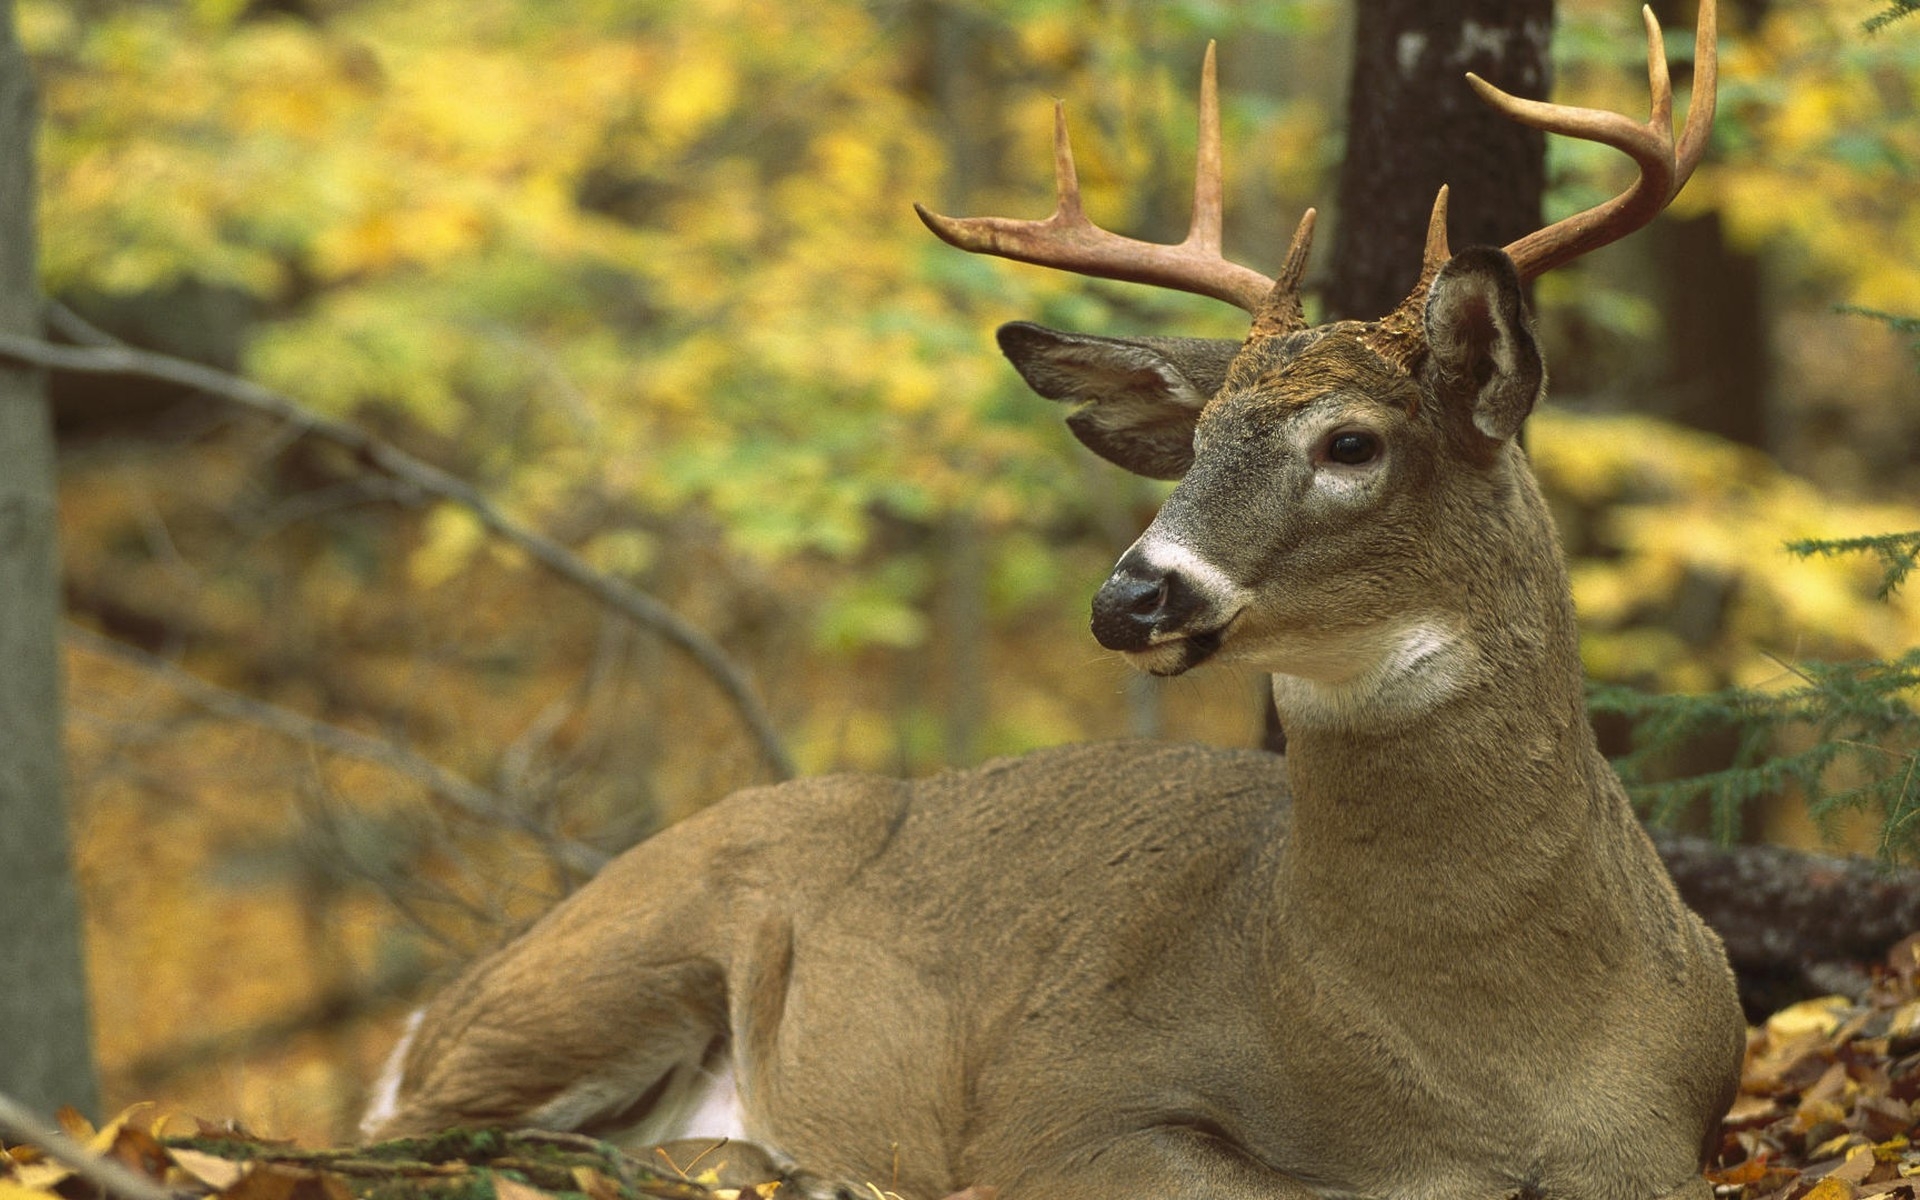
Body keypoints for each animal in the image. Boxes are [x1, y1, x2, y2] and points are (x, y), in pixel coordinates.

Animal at [362, 5, 1743, 1198]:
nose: (1131, 595)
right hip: (612, 956)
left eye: (1351, 443)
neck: (1494, 1065)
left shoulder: (1675, 1135)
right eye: (1198, 444)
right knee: (407, 1137)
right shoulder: (1062, 1099)